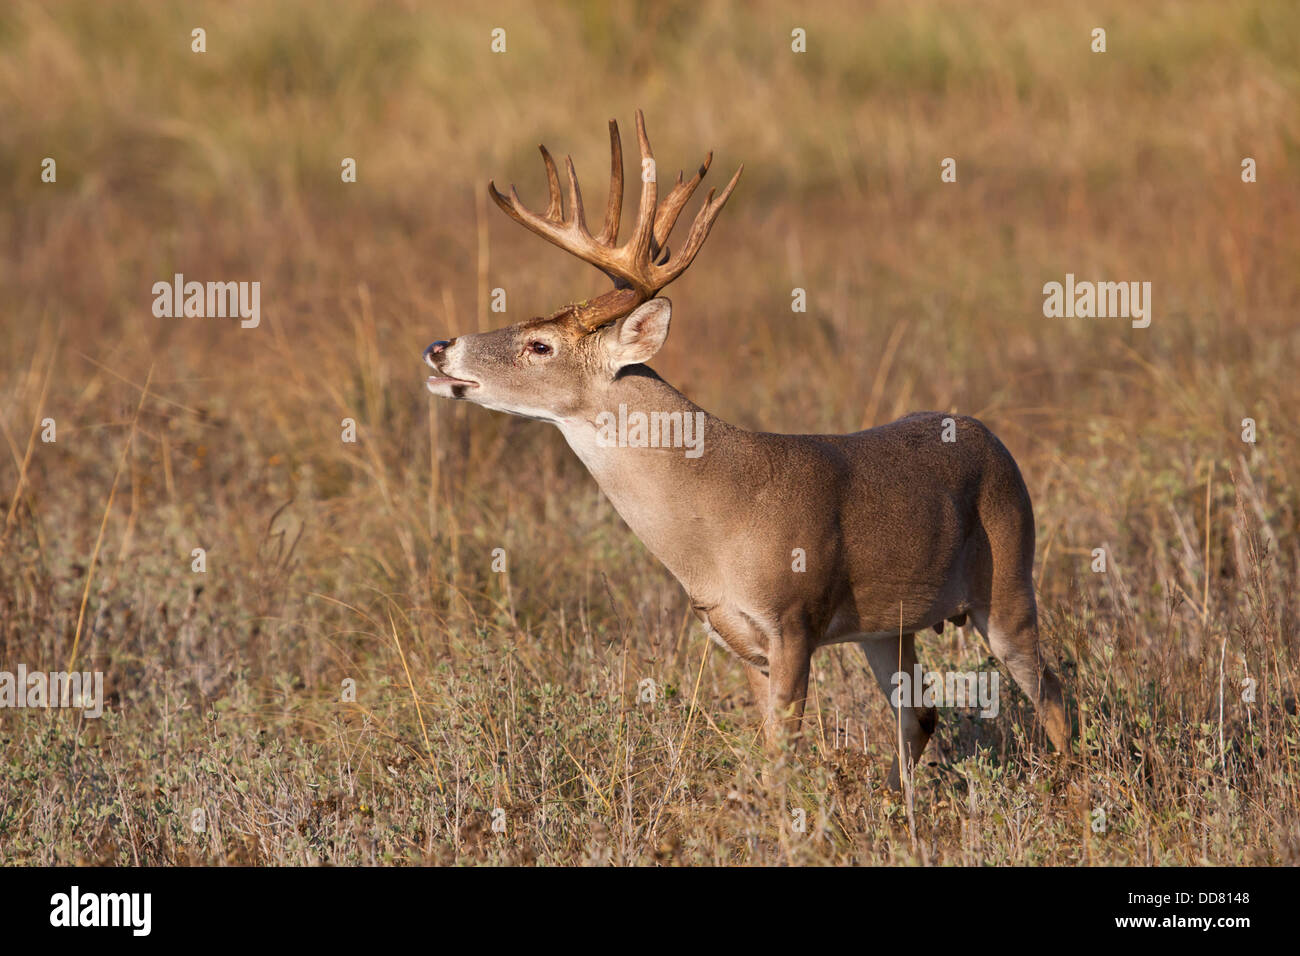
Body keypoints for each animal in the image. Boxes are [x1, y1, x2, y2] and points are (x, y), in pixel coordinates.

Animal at [423, 111, 1072, 788]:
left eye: (540, 345)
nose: (440, 348)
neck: (715, 520)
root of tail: (990, 436)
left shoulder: (793, 622)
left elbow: (784, 751)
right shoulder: (738, 639)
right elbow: (771, 748)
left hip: (1008, 583)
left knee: (1052, 692)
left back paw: (1073, 781)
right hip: (888, 626)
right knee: (919, 717)